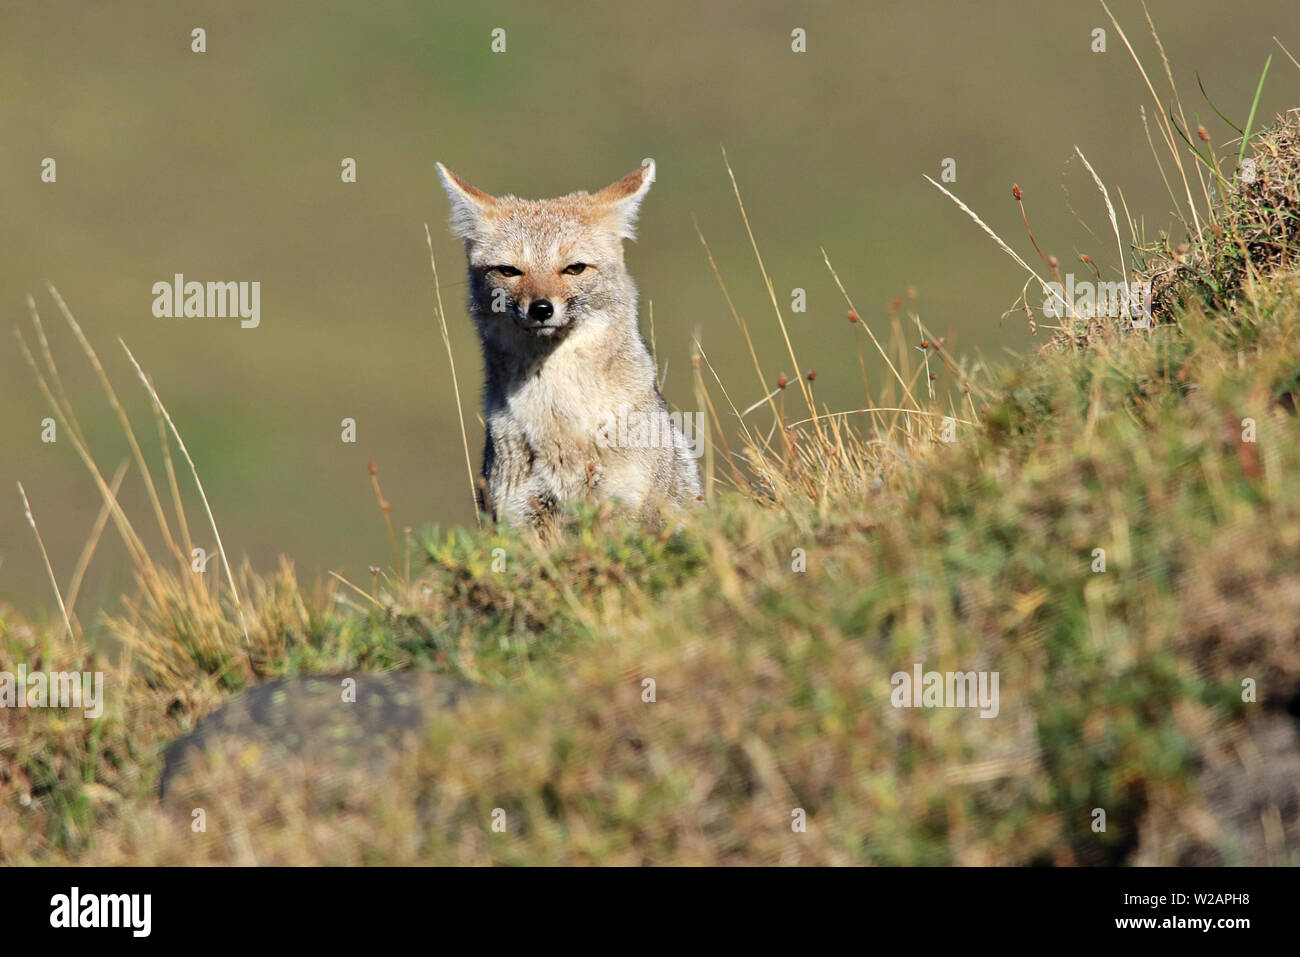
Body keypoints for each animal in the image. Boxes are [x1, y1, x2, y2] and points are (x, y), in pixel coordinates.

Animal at [435, 158, 702, 530]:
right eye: (509, 271)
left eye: (574, 268)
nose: (541, 308)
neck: (557, 418)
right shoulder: (521, 516)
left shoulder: (621, 507)